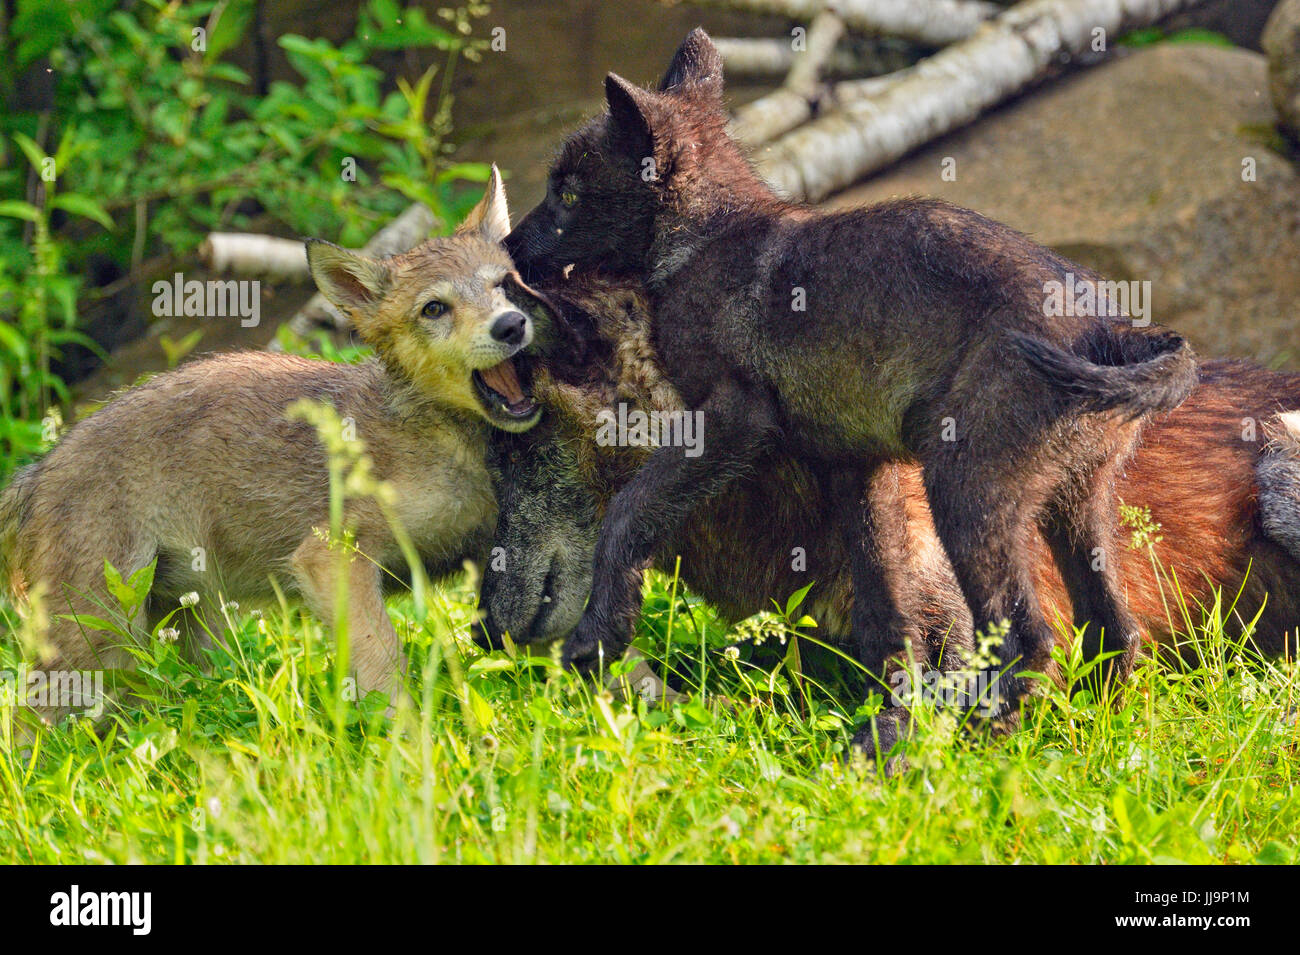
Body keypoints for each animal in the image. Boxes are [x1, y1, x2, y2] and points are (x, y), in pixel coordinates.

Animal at [0, 168, 556, 730]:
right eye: (435, 309)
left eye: (505, 286)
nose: (510, 326)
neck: (450, 440)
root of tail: (36, 473)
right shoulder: (329, 556)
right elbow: (384, 666)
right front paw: (408, 741)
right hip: (97, 642)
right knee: (28, 724)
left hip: (188, 630)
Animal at [503, 29, 1199, 713]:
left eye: (567, 193)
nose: (507, 250)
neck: (703, 238)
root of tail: (1112, 328)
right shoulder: (857, 465)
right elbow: (884, 604)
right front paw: (888, 712)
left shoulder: (732, 418)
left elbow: (628, 509)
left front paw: (596, 637)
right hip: (1079, 502)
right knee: (1114, 629)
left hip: (968, 491)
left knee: (1029, 640)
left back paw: (976, 733)